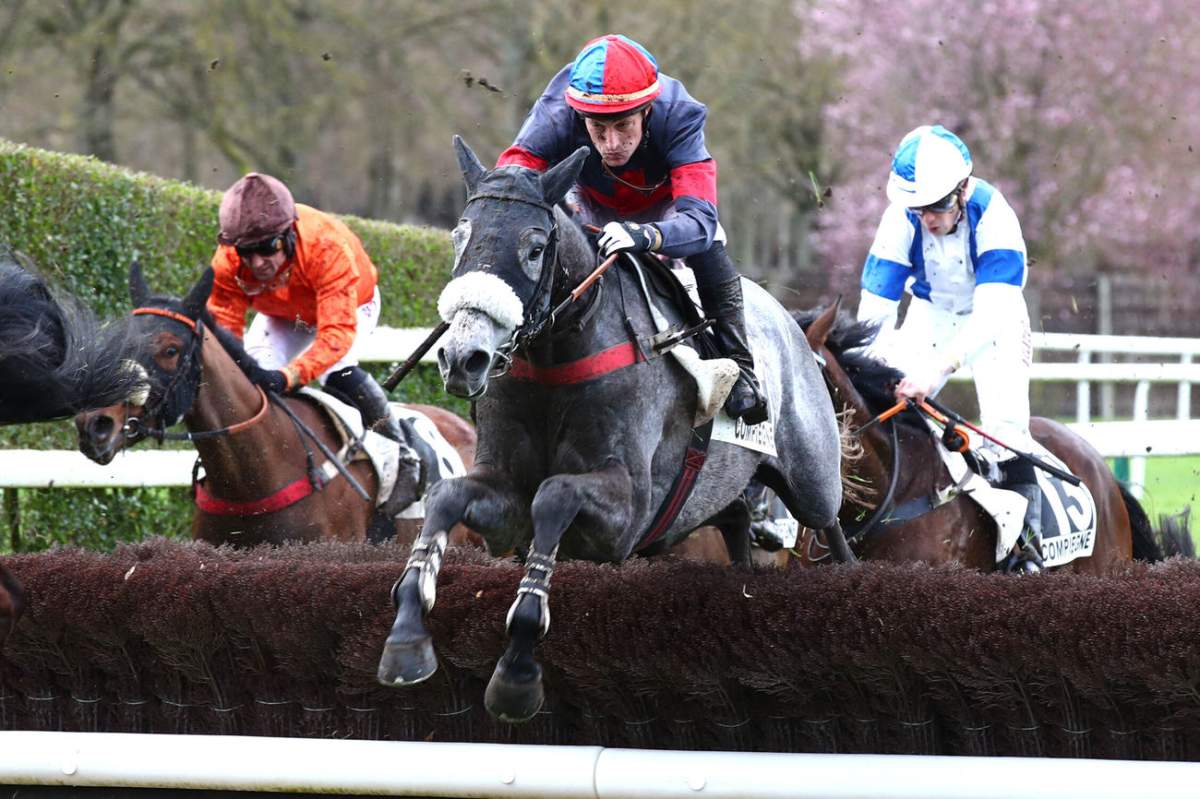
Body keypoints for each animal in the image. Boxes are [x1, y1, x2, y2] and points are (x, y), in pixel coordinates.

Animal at [376, 137, 848, 722]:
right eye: (459, 237)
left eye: (535, 248)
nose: (464, 358)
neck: (557, 355)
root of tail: (792, 323)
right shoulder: (503, 494)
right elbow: (446, 497)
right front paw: (406, 634)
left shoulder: (628, 511)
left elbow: (554, 496)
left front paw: (517, 666)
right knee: (737, 521)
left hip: (813, 481)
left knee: (832, 526)